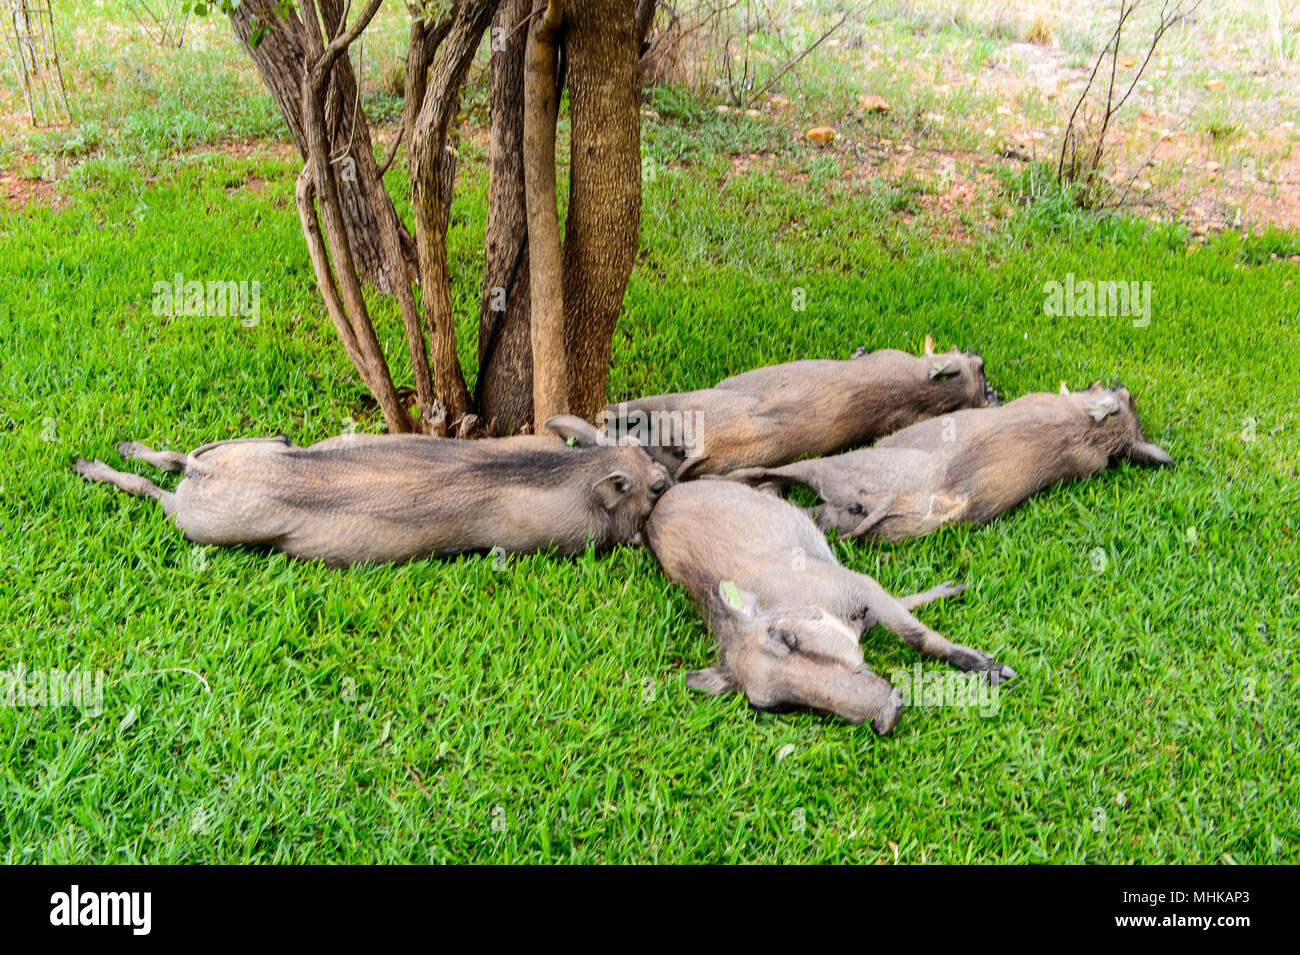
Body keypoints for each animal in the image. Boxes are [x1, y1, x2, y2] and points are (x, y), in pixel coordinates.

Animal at [72, 414, 670, 567]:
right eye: (658, 486)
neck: (579, 473)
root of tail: (211, 476)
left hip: (255, 448)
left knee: (172, 458)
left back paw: (116, 449)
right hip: (204, 524)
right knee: (156, 492)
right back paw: (88, 465)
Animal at [646, 480, 1012, 732]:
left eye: (787, 638)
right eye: (778, 707)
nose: (887, 715)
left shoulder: (860, 586)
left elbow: (916, 635)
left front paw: (994, 670)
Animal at [726, 383, 1173, 542]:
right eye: (1127, 398)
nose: (1118, 381)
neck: (1088, 431)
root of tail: (892, 499)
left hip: (824, 467)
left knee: (765, 475)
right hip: (834, 516)